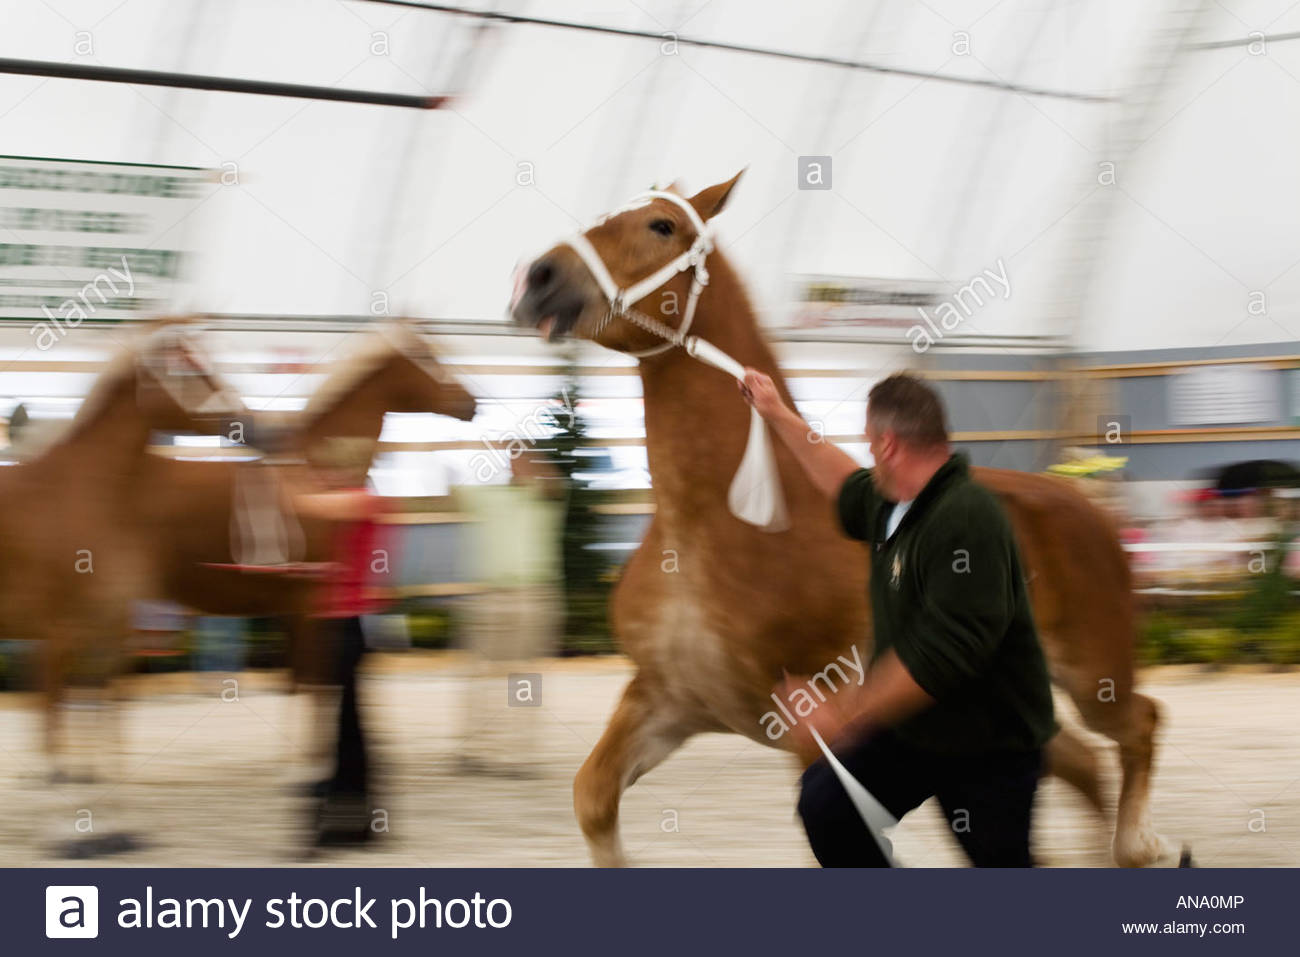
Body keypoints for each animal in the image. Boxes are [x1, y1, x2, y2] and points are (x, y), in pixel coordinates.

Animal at [0, 320, 246, 781]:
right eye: (188, 368)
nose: (240, 414)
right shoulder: (57, 628)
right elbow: (56, 699)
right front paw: (57, 767)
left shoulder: (105, 621)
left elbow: (101, 698)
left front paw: (99, 768)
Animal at [510, 173, 1168, 868]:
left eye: (662, 226)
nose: (541, 278)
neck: (715, 528)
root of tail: (1085, 505)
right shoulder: (667, 700)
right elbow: (592, 798)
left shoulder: (814, 729)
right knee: (1081, 762)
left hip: (1096, 677)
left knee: (1139, 723)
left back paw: (1140, 844)